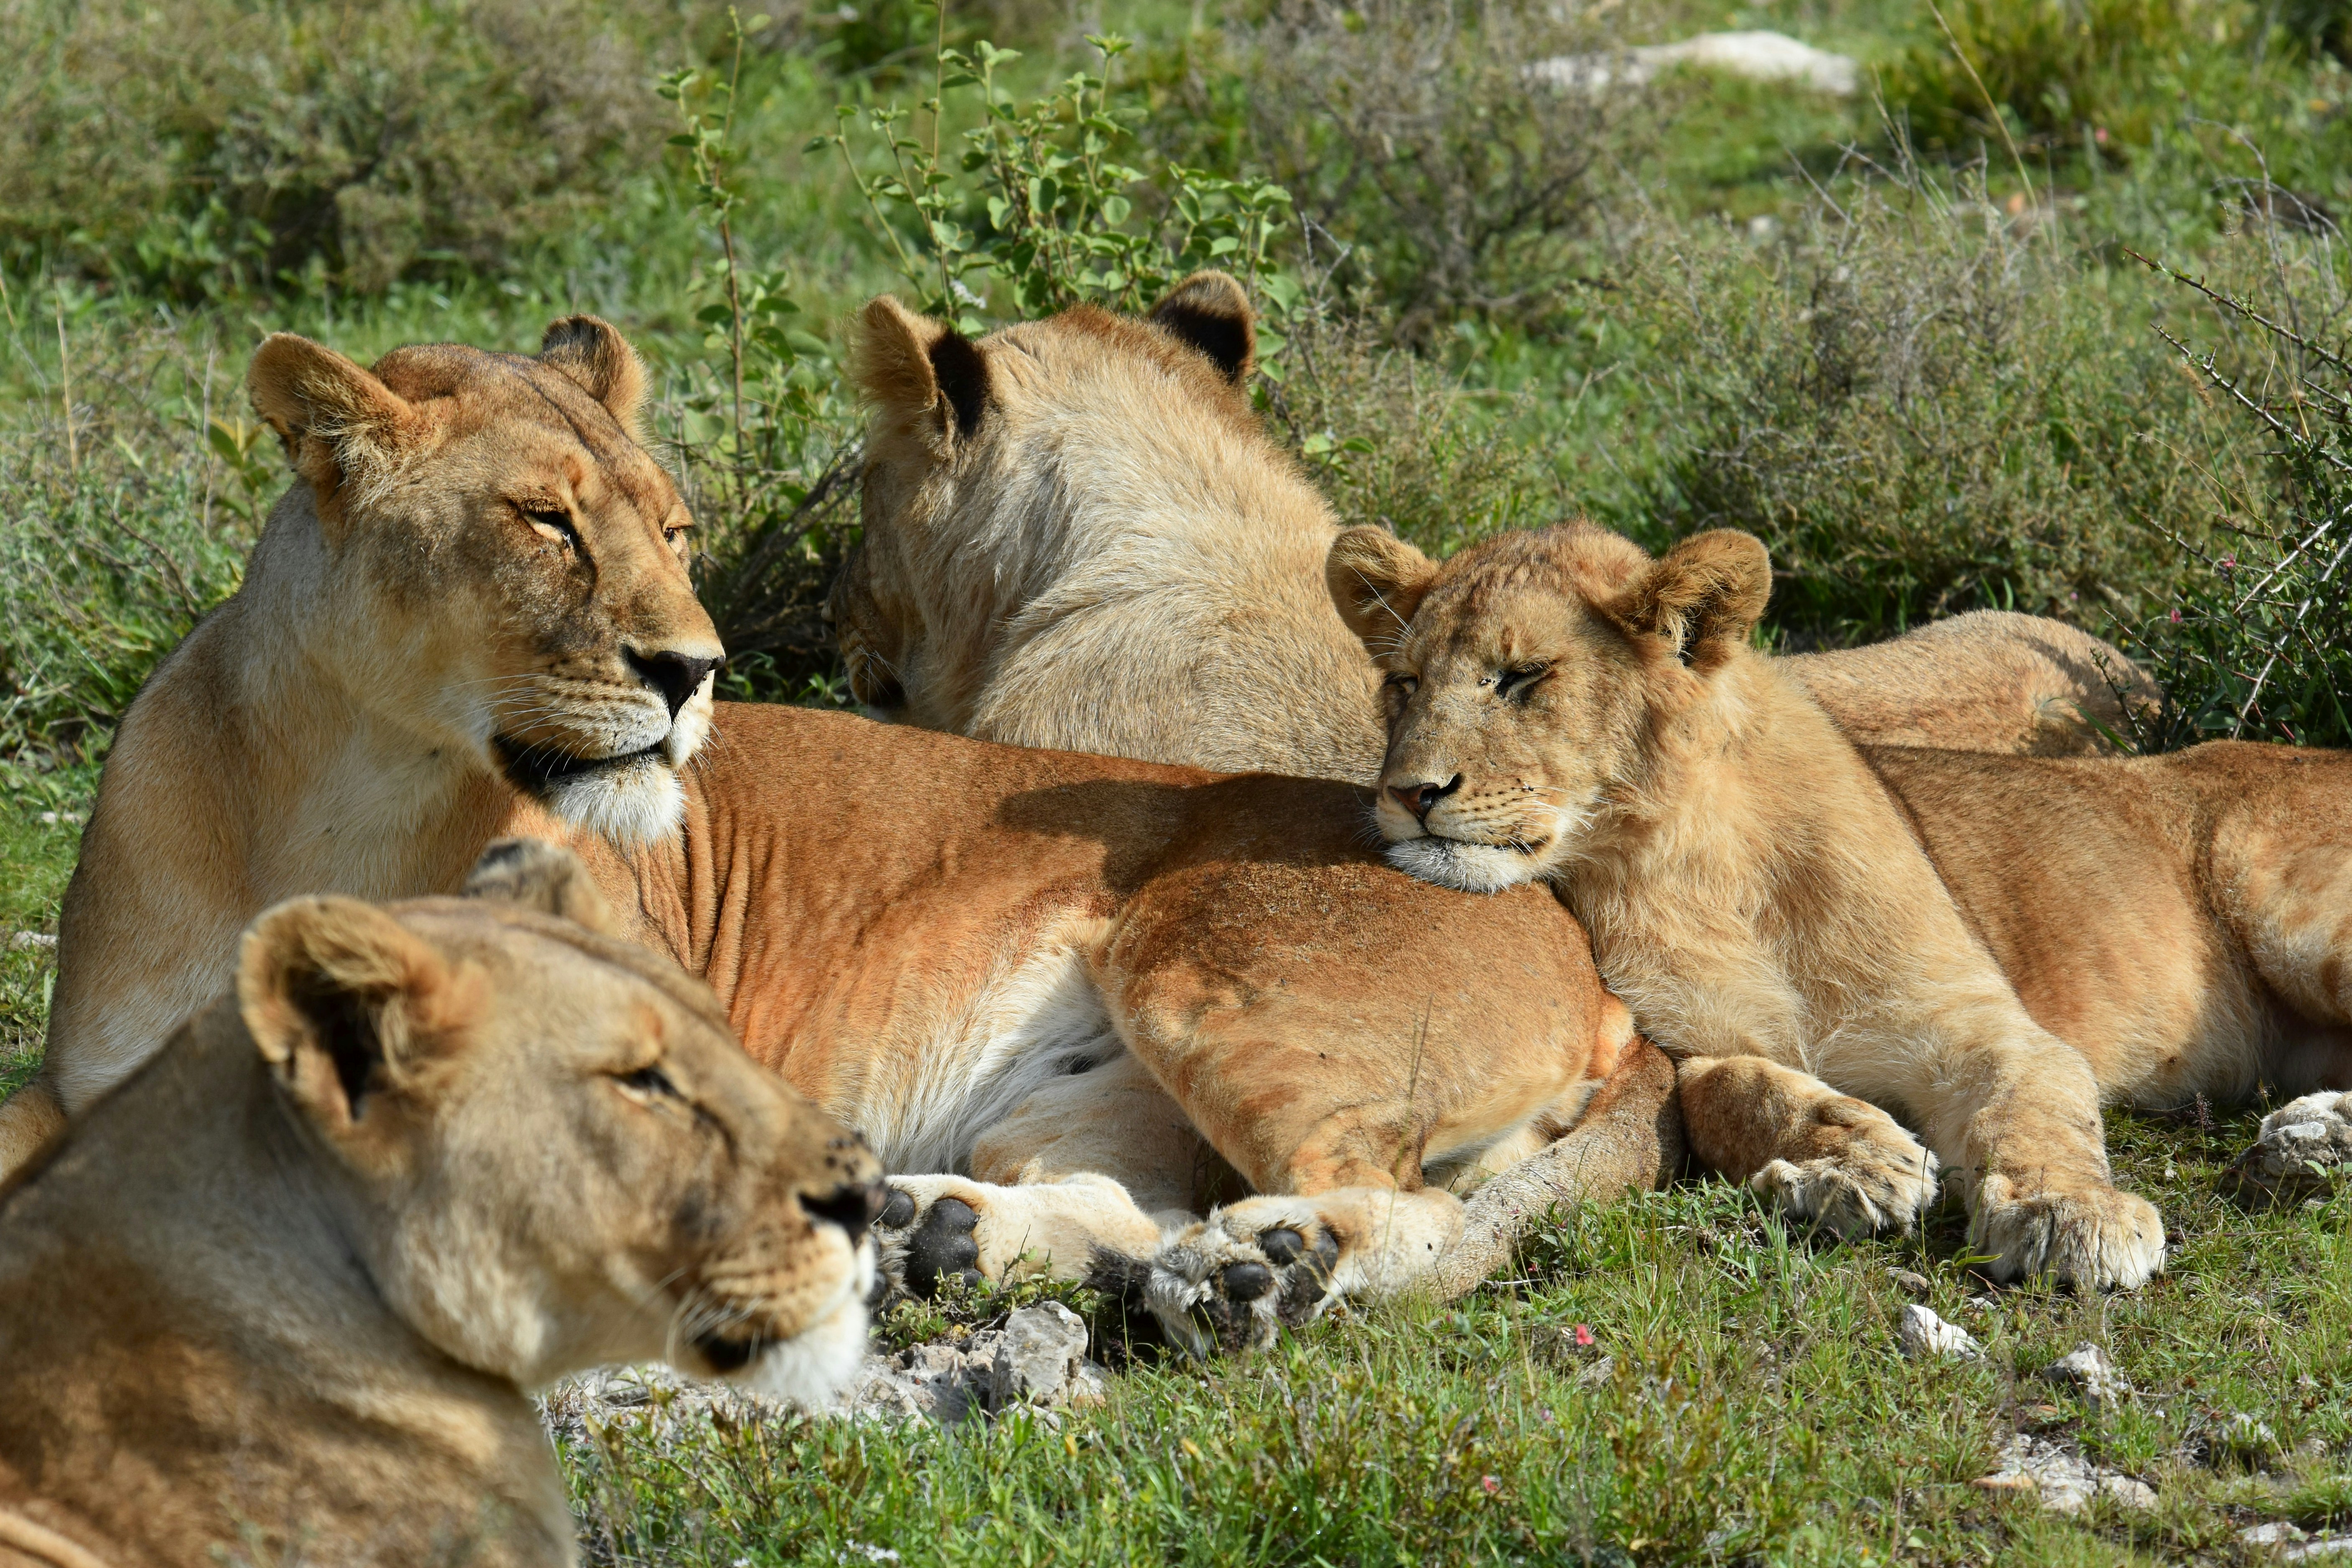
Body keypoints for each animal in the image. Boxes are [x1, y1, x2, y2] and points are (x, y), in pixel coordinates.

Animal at [0, 317, 1673, 1355]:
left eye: (670, 528)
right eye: (547, 521)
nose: (694, 670)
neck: (344, 793)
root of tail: (1582, 952)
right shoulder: (84, 1086)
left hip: (1209, 964)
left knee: (1419, 1213)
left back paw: (1265, 1269)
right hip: (1069, 1099)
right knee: (1133, 1201)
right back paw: (946, 1235)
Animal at [1327, 519, 2352, 1290]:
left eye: (1521, 676)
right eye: (1404, 683)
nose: (1408, 793)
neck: (1689, 865)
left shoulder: (1981, 1022)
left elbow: (2031, 1109)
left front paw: (2073, 1216)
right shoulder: (1689, 1046)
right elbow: (1736, 1094)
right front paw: (1853, 1163)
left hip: (2295, 921)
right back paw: (2314, 1136)